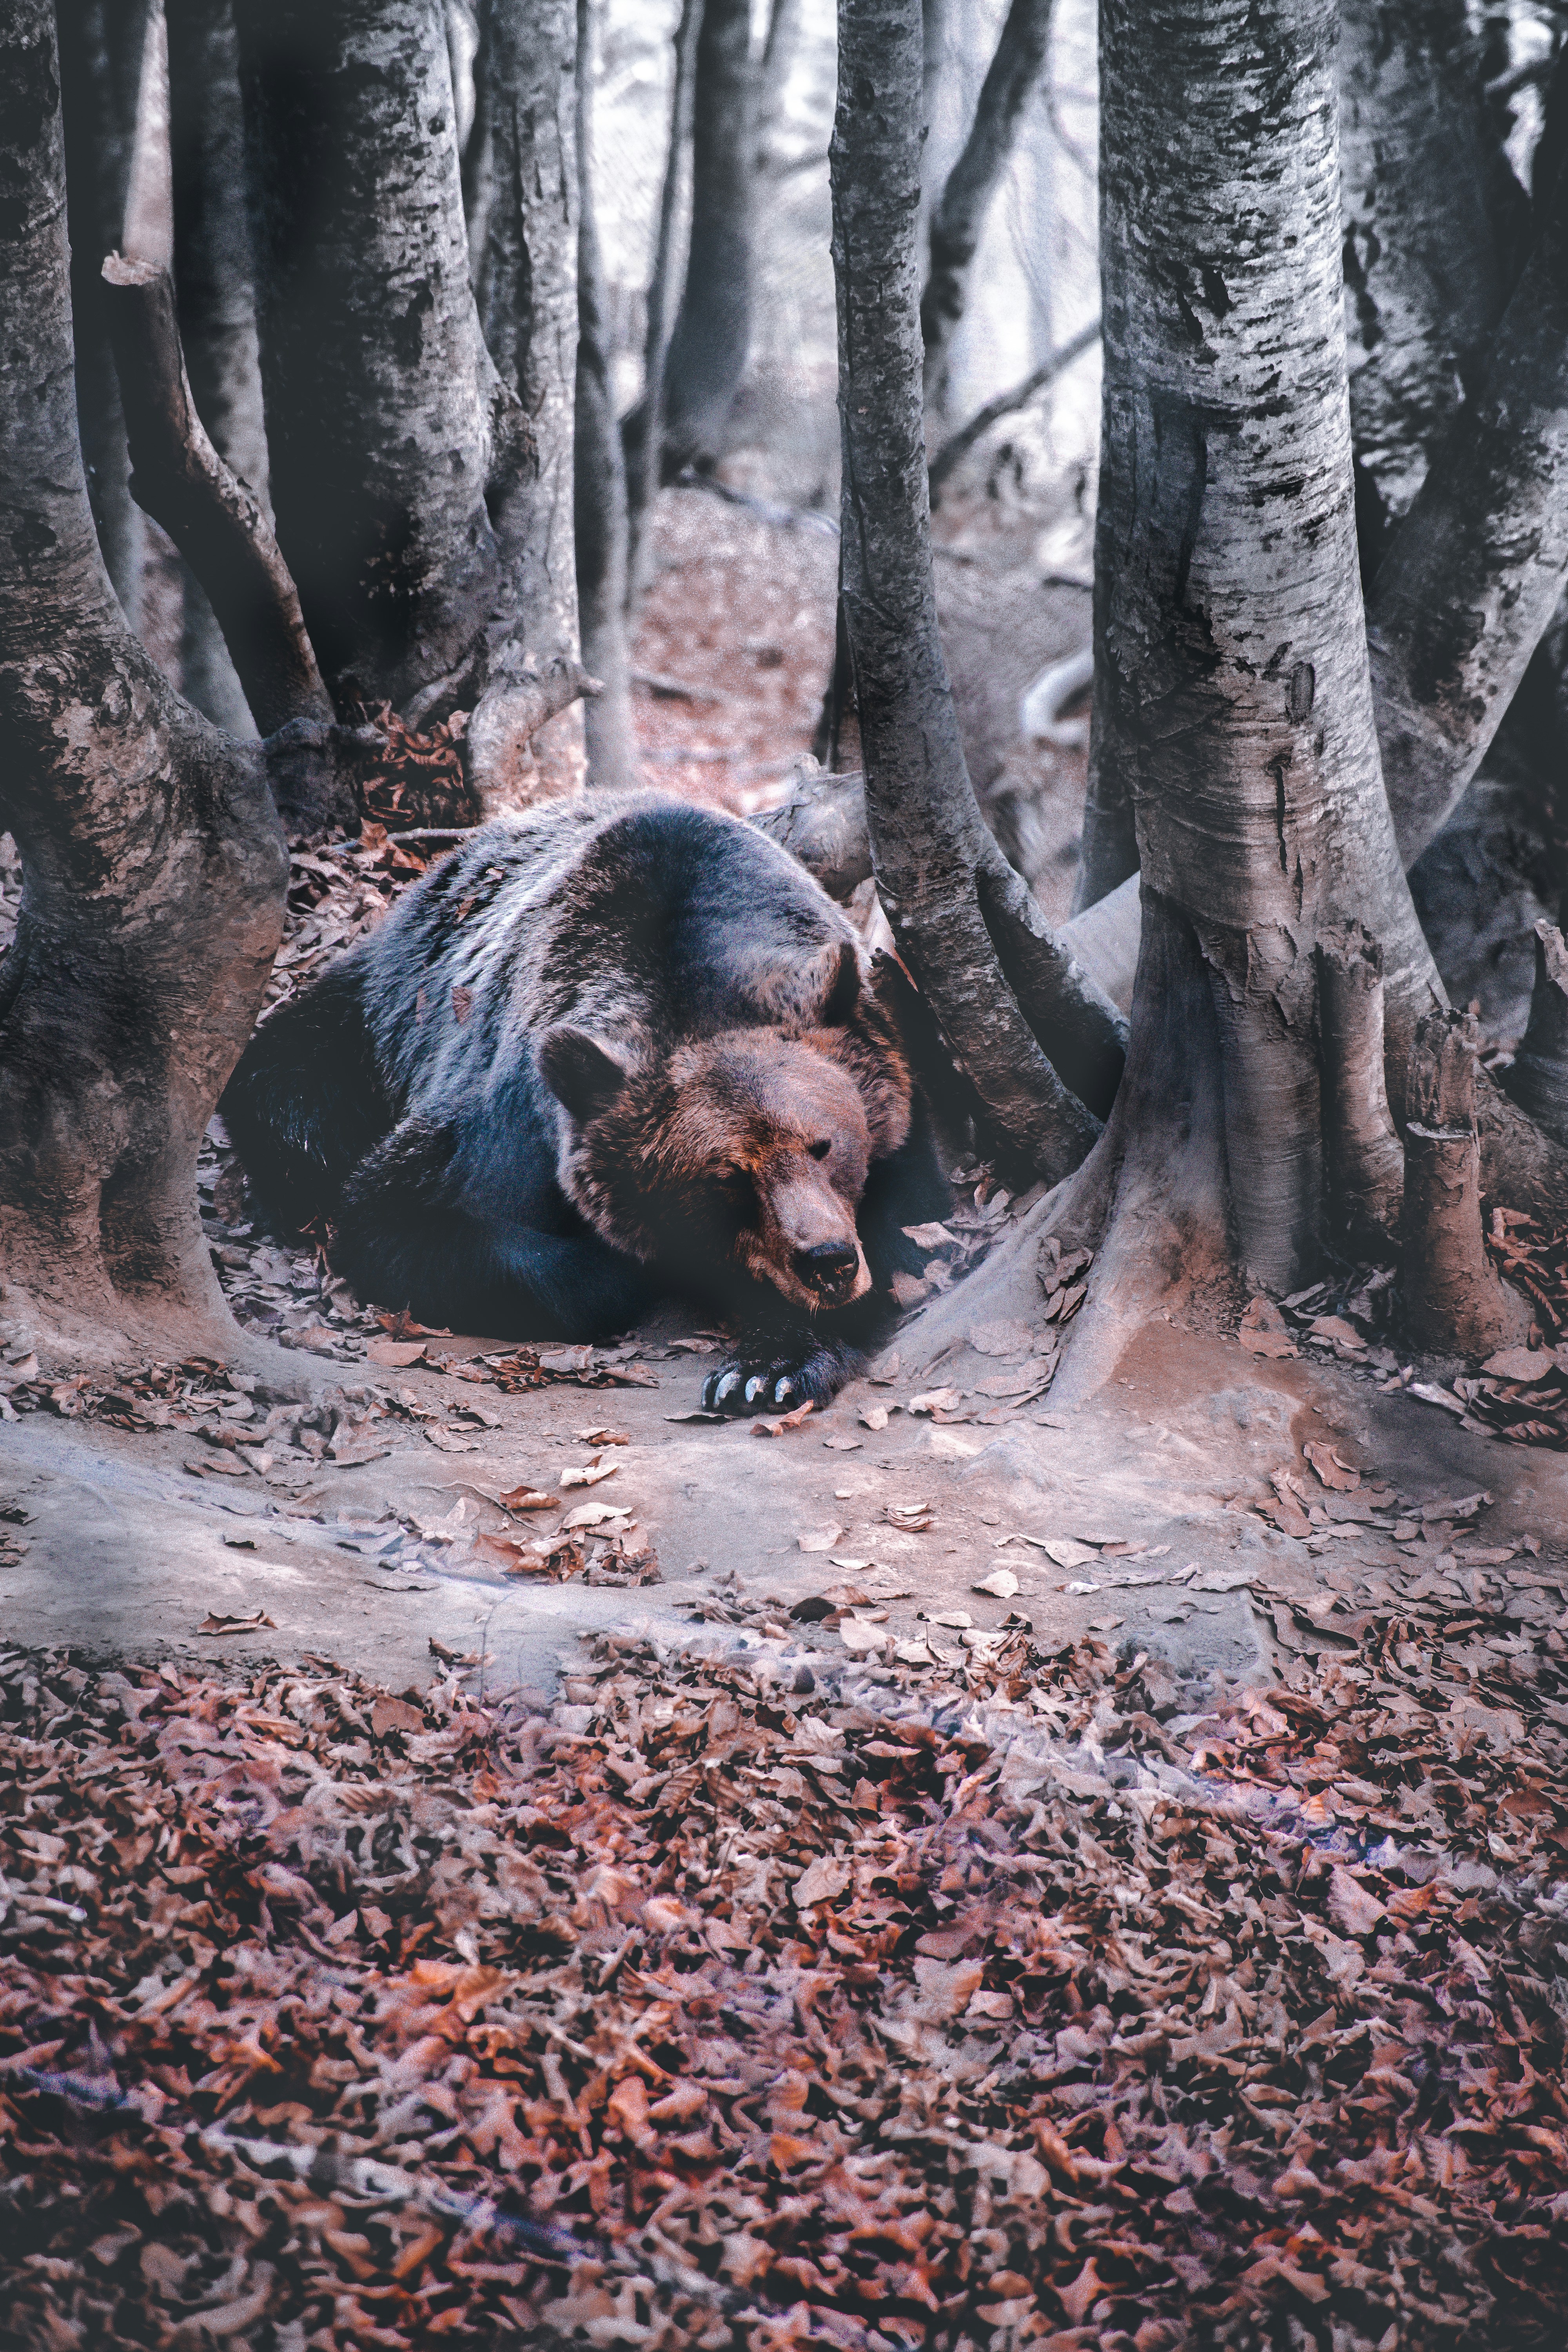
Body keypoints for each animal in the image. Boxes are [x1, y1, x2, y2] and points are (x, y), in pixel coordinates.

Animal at [220, 792, 950, 1412]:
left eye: (826, 1145)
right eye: (727, 1177)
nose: (828, 1261)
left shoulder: (888, 1088)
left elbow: (910, 1231)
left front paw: (766, 1368)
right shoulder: (507, 1114)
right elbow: (398, 1219)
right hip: (378, 1010)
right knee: (288, 1093)